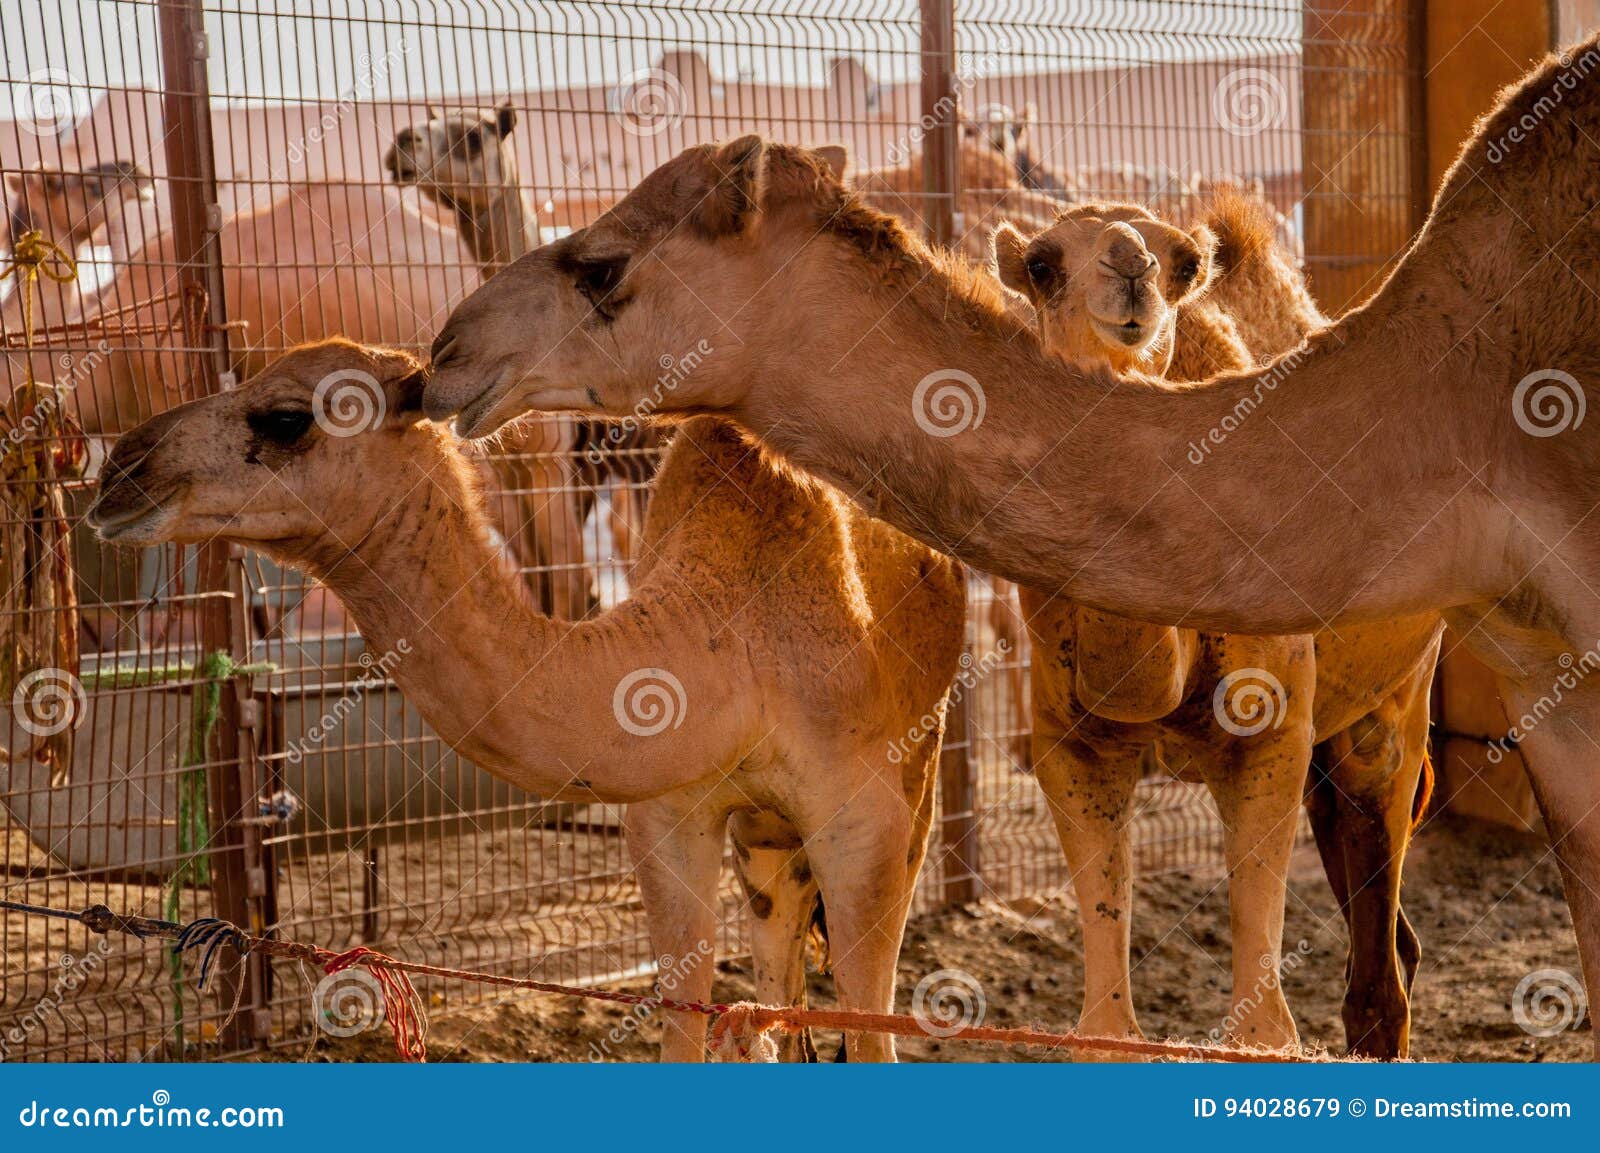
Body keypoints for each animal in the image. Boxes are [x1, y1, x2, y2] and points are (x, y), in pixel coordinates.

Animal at [88, 339, 964, 1063]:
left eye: (285, 417)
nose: (119, 470)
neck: (730, 644)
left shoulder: (866, 819)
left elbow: (873, 1029)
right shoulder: (668, 814)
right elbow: (686, 1016)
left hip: (913, 775)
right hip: (766, 838)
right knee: (779, 986)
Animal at [992, 192, 1441, 1056]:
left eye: (1183, 262)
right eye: (1040, 263)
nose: (1129, 265)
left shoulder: (1267, 734)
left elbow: (1264, 1026)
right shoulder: (1072, 743)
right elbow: (1105, 1022)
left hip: (1401, 684)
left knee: (1379, 925)